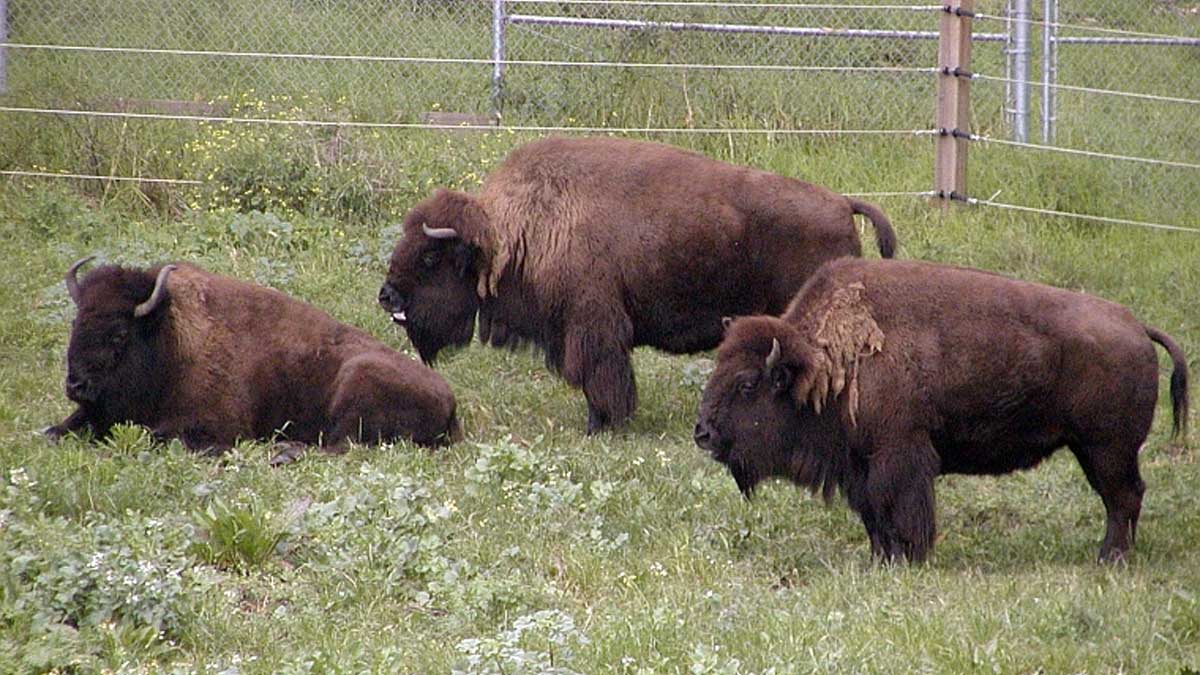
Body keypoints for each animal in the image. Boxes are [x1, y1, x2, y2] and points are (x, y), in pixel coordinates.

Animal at [45, 257, 461, 464]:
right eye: (76, 323)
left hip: (356, 381)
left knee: (340, 446)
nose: (75, 384)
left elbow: (158, 435)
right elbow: (59, 429)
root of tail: (451, 401)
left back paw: (282, 453)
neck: (170, 339)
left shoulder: (210, 425)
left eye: (119, 333)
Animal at [378, 136, 897, 433]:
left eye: (429, 256)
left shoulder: (593, 326)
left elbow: (601, 377)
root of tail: (841, 203)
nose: (387, 296)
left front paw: (604, 426)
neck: (516, 230)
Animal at [694, 258, 1189, 563]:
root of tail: (1136, 326)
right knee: (1122, 498)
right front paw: (881, 559)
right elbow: (874, 517)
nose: (703, 433)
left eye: (747, 384)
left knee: (1123, 498)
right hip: (1093, 450)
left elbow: (903, 511)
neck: (828, 362)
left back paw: (1110, 558)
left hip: (1107, 449)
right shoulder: (859, 465)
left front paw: (910, 557)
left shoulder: (901, 456)